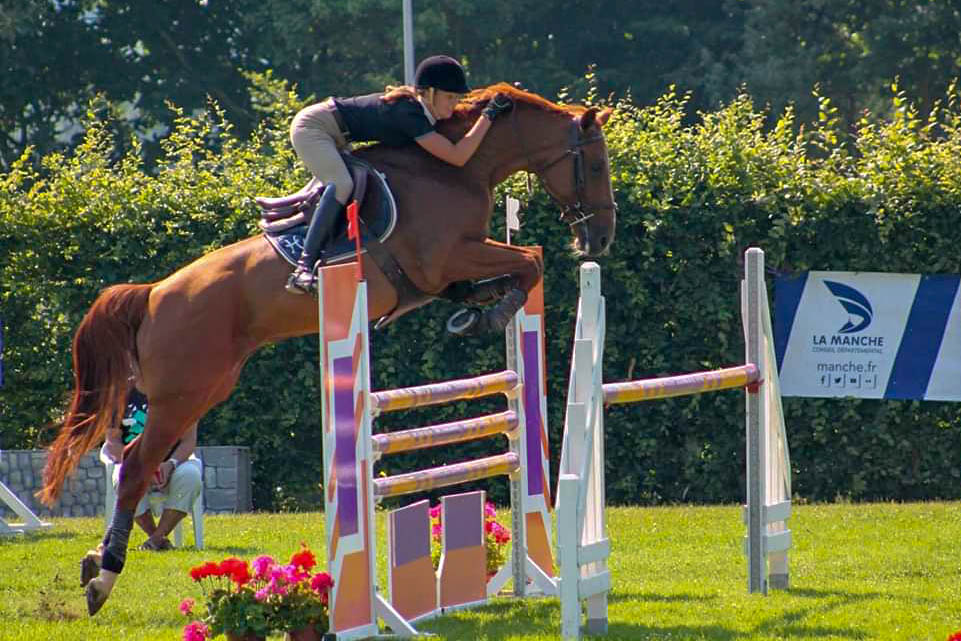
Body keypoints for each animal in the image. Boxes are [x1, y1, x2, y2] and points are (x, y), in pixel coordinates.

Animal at [39, 82, 616, 612]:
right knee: (135, 467)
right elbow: (529, 262)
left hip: (205, 389)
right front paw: (493, 312)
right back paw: (102, 576)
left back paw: (97, 564)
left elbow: (514, 267)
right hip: (182, 394)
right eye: (595, 164)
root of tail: (155, 292)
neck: (456, 169)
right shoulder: (446, 257)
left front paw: (477, 310)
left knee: (139, 463)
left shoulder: (448, 271)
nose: (602, 239)